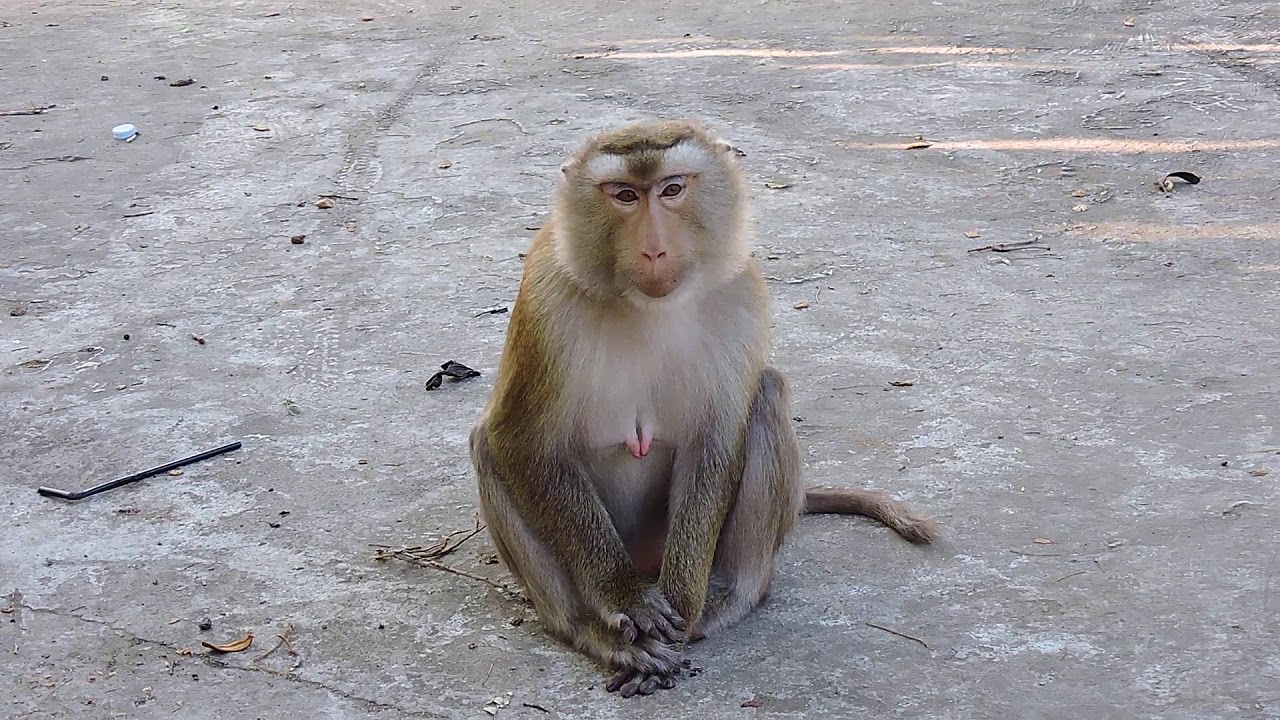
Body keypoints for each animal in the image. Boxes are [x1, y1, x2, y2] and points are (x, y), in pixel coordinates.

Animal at [469, 119, 938, 698]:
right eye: (625, 195)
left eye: (672, 189)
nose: (653, 251)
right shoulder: (545, 296)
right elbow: (518, 440)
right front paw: (625, 600)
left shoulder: (740, 295)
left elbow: (714, 443)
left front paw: (686, 604)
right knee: (487, 447)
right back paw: (592, 632)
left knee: (766, 397)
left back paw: (731, 598)